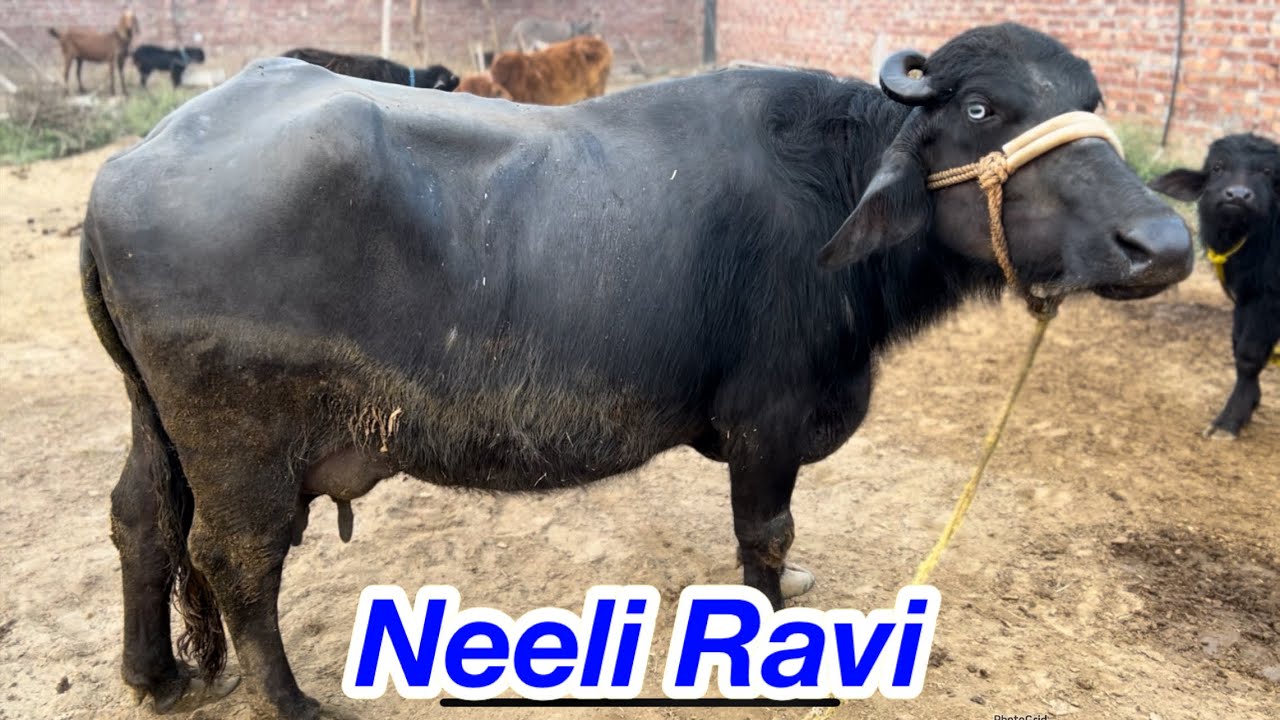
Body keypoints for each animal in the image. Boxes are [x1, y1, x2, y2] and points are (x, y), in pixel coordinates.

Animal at [83, 23, 1190, 719]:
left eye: (1088, 103)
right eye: (980, 107)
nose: (1163, 242)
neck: (829, 200)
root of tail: (129, 166)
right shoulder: (768, 420)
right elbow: (766, 533)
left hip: (155, 421)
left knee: (144, 519)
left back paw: (157, 677)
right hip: (243, 448)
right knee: (236, 558)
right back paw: (295, 702)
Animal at [1151, 134, 1280, 438]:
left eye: (1268, 172)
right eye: (1218, 167)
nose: (1238, 195)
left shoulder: (1268, 300)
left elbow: (1249, 355)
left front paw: (1229, 421)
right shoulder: (1245, 297)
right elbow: (1238, 347)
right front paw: (1250, 403)